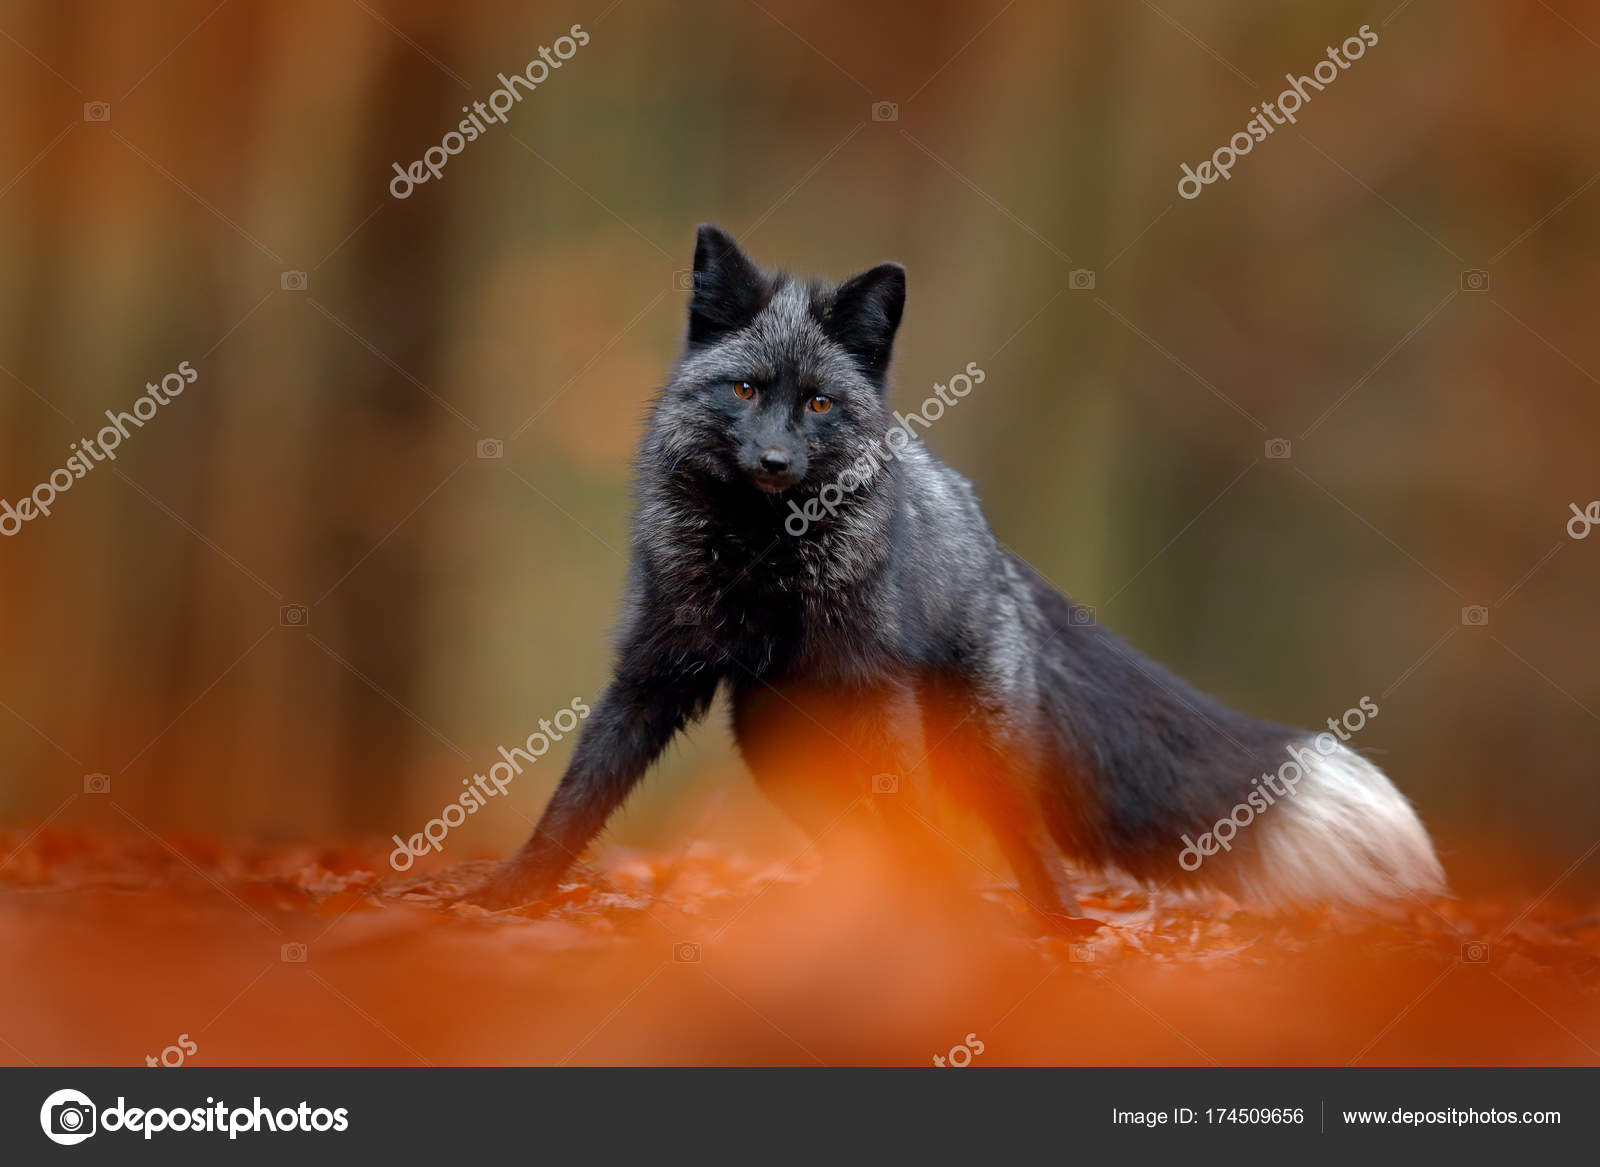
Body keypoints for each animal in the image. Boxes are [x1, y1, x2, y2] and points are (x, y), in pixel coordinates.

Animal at [467, 224, 1448, 927]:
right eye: (744, 390)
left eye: (819, 402)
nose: (777, 460)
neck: (765, 561)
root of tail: (999, 556)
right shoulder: (651, 671)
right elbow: (576, 801)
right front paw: (511, 895)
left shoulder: (877, 694)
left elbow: (919, 829)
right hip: (782, 750)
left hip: (972, 745)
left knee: (1014, 848)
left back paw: (1060, 933)